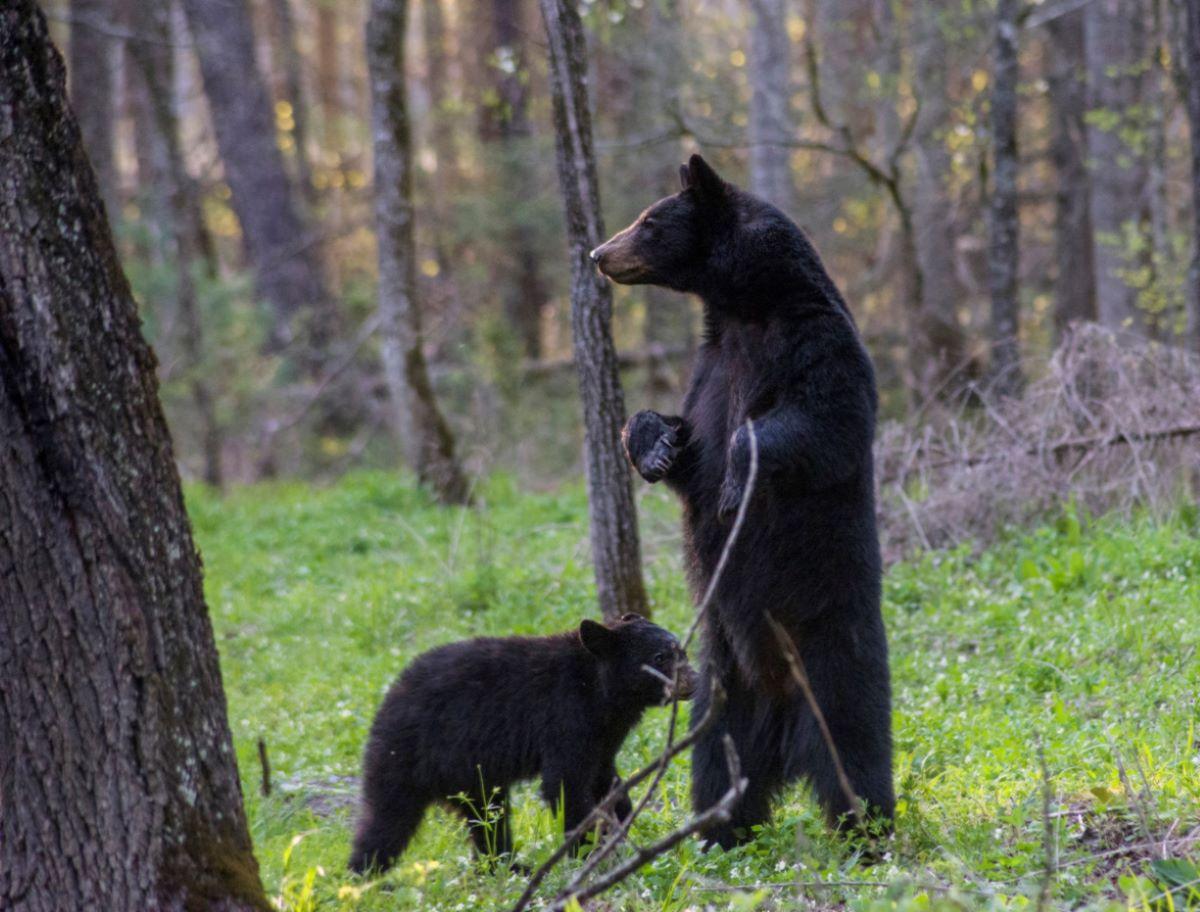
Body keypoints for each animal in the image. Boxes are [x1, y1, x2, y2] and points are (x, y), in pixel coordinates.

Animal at [348, 614, 698, 874]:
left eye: (682, 650)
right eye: (660, 656)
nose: (693, 680)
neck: (601, 690)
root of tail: (386, 701)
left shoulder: (603, 734)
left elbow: (605, 777)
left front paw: (621, 820)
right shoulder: (565, 716)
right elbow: (566, 785)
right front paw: (588, 855)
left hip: (470, 777)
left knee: (488, 818)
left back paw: (508, 867)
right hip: (406, 757)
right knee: (387, 820)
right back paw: (367, 877)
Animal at [591, 154, 894, 849]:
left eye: (649, 222)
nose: (598, 253)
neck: (745, 307)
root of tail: (782, 715)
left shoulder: (816, 342)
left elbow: (823, 418)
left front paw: (739, 474)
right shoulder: (710, 368)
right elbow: (686, 443)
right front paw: (653, 445)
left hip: (834, 643)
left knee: (853, 741)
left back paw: (866, 826)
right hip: (720, 678)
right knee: (714, 751)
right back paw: (716, 826)